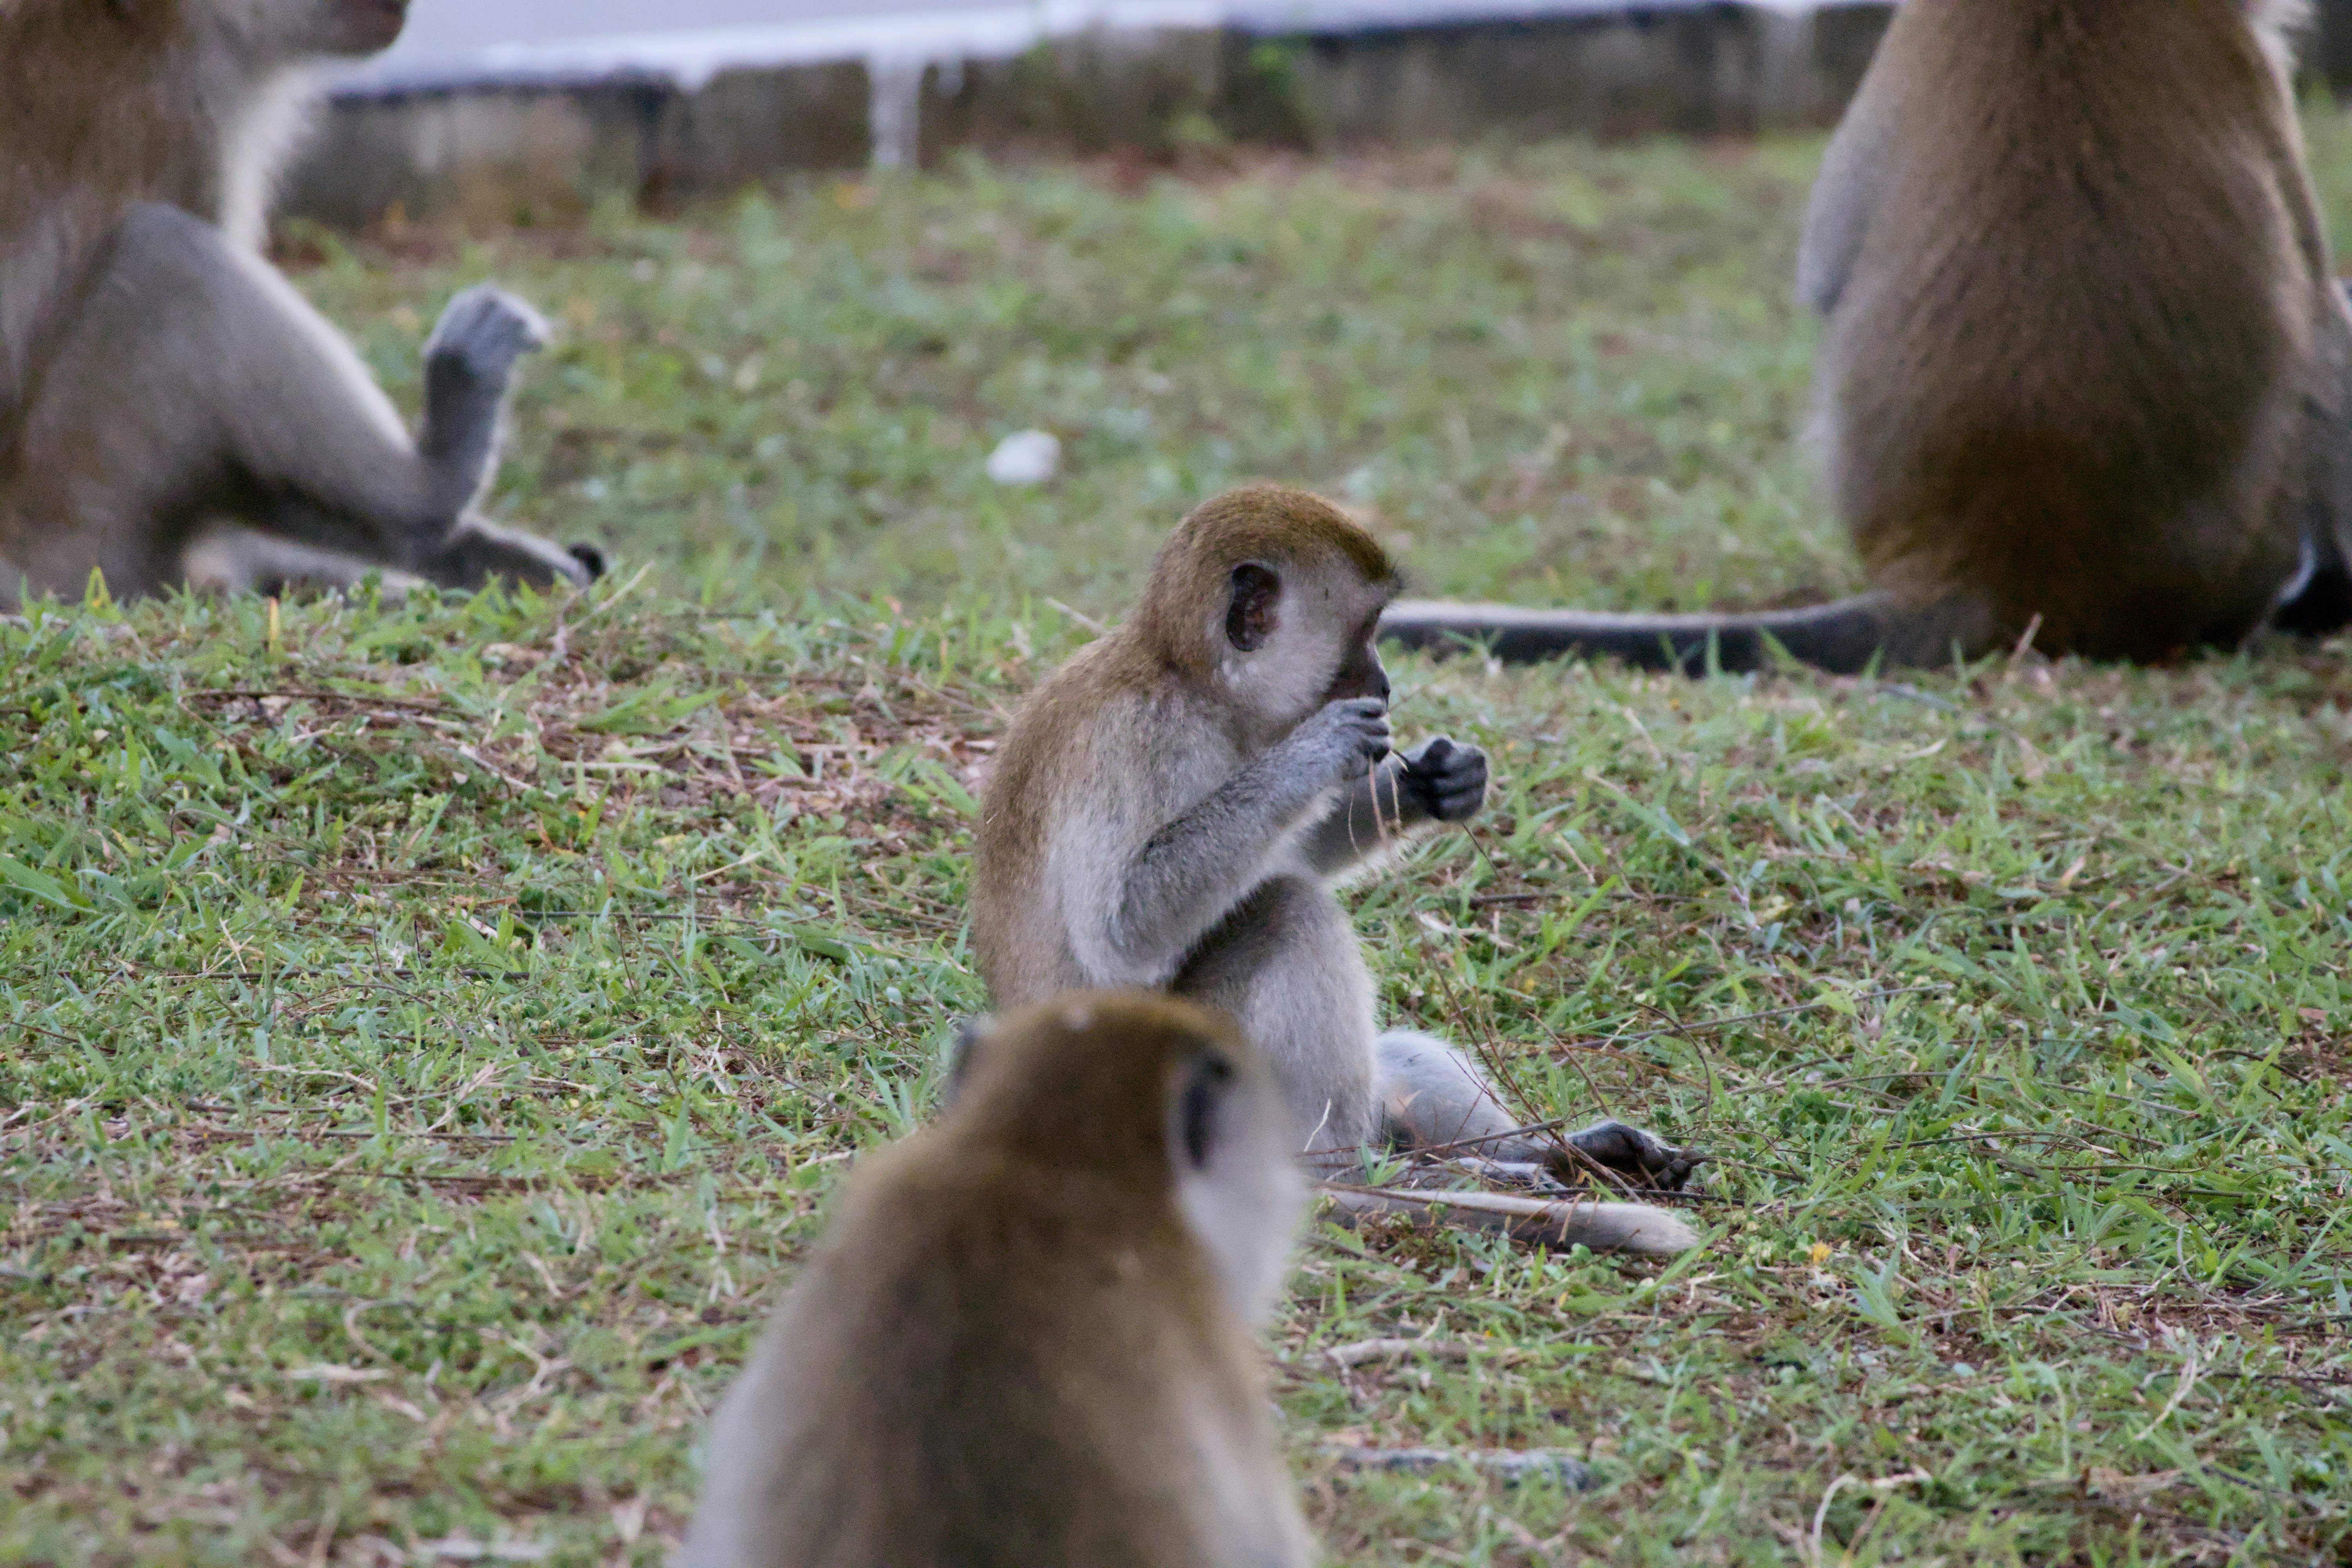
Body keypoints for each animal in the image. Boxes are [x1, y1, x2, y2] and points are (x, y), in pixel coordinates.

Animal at [972, 483, 1701, 1256]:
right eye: (1367, 628)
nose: (1386, 682)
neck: (1199, 689)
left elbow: (1286, 851)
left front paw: (1434, 781)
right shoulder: (1140, 738)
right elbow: (1123, 929)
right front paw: (1315, 755)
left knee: (1396, 1051)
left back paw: (1549, 1153)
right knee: (1288, 915)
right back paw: (1366, 1177)